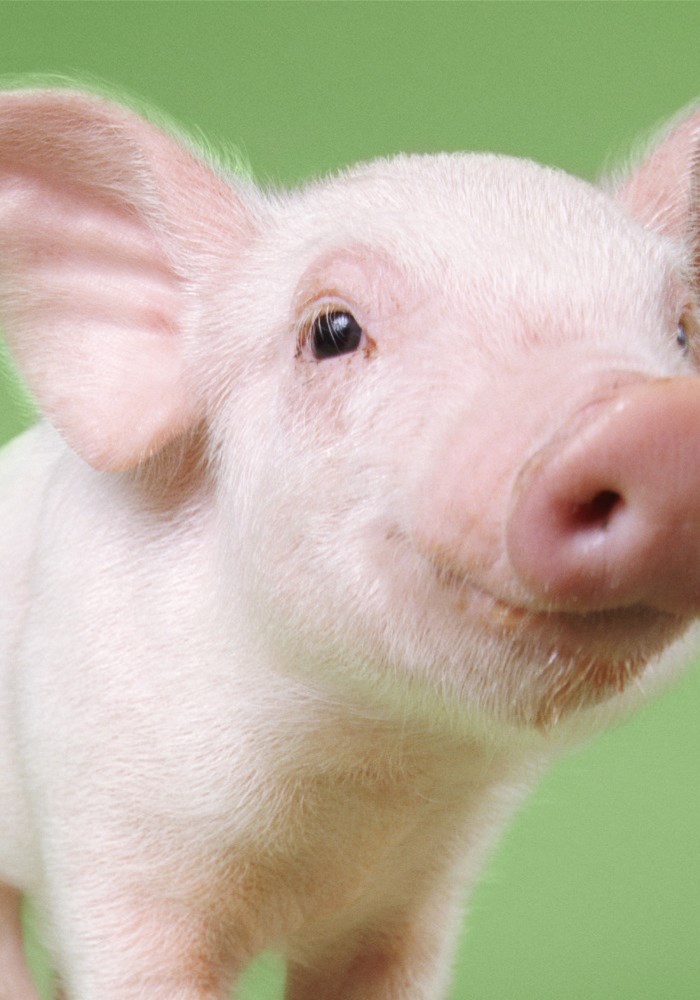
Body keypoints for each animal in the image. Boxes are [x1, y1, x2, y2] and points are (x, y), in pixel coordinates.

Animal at [0, 86, 699, 1000]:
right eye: (333, 330)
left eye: (683, 331)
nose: (654, 421)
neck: (362, 774)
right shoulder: (109, 841)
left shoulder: (413, 897)